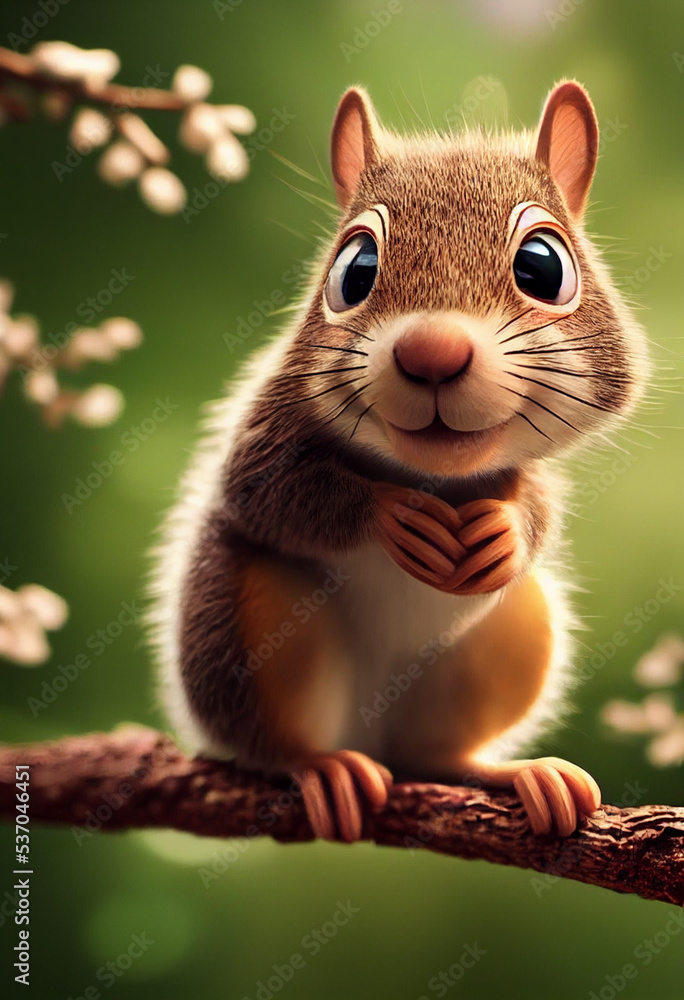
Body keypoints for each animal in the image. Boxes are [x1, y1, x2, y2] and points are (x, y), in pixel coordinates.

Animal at [149, 80, 648, 842]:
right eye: (353, 270)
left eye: (544, 266)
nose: (432, 352)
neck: (432, 474)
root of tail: (371, 737)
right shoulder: (264, 427)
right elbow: (262, 489)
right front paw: (390, 516)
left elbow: (539, 507)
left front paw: (506, 531)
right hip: (246, 619)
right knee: (275, 741)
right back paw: (320, 767)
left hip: (511, 634)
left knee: (436, 756)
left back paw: (517, 776)